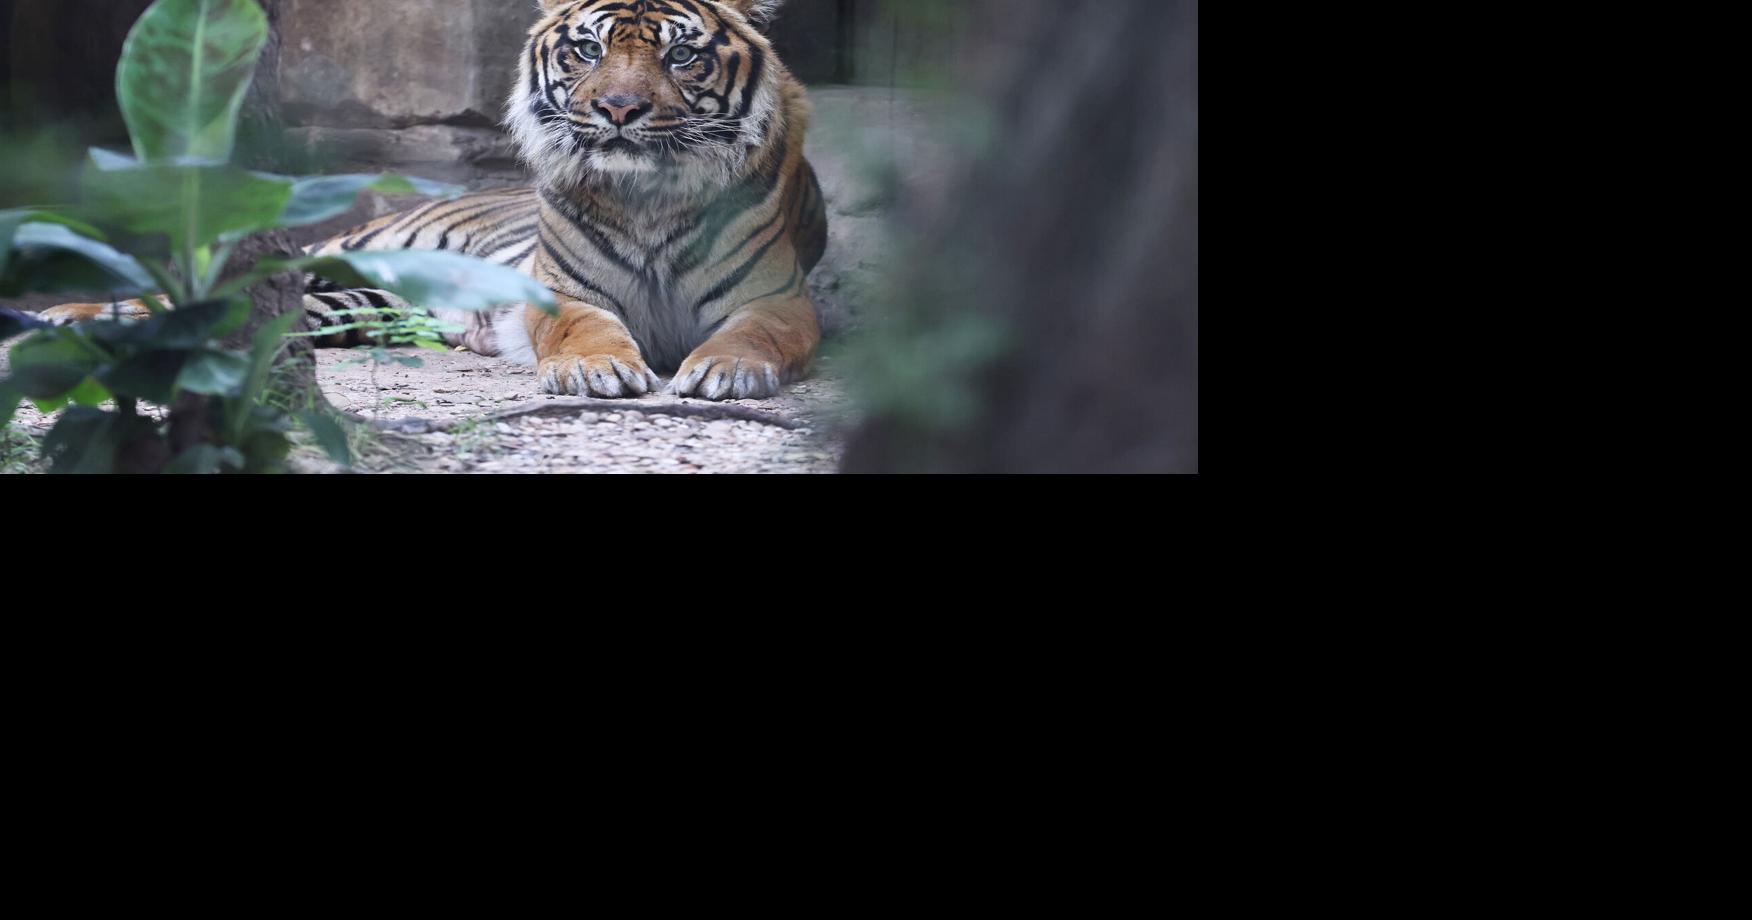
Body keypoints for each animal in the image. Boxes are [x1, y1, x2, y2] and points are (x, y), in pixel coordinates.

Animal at [41, 0, 827, 402]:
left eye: (680, 56)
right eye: (586, 51)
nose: (619, 109)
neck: (649, 196)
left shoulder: (776, 298)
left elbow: (755, 335)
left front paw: (726, 368)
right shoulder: (565, 293)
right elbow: (586, 330)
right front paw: (592, 369)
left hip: (356, 301)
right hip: (342, 255)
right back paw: (60, 313)